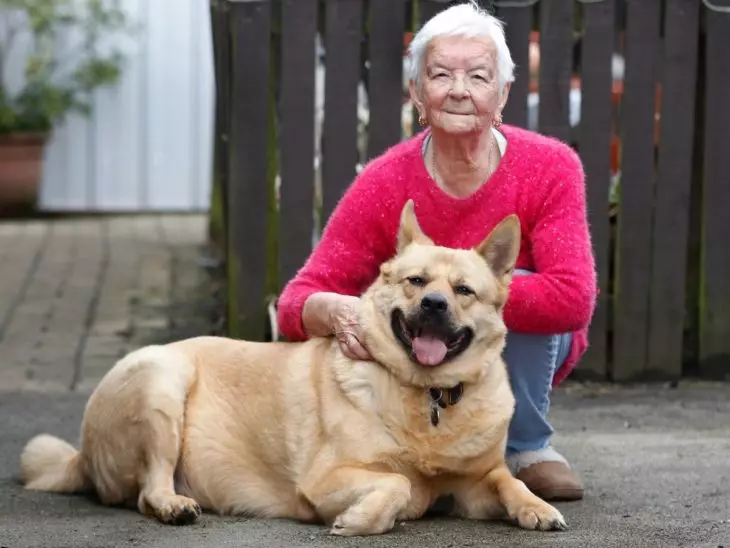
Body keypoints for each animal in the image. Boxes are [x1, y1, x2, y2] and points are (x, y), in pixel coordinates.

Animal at [15, 200, 564, 536]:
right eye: (416, 281)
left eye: (464, 291)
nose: (433, 304)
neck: (428, 398)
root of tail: (82, 454)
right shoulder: (326, 480)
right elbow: (398, 483)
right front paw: (362, 519)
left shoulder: (475, 482)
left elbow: (508, 481)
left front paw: (538, 507)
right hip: (163, 382)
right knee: (150, 489)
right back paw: (174, 505)